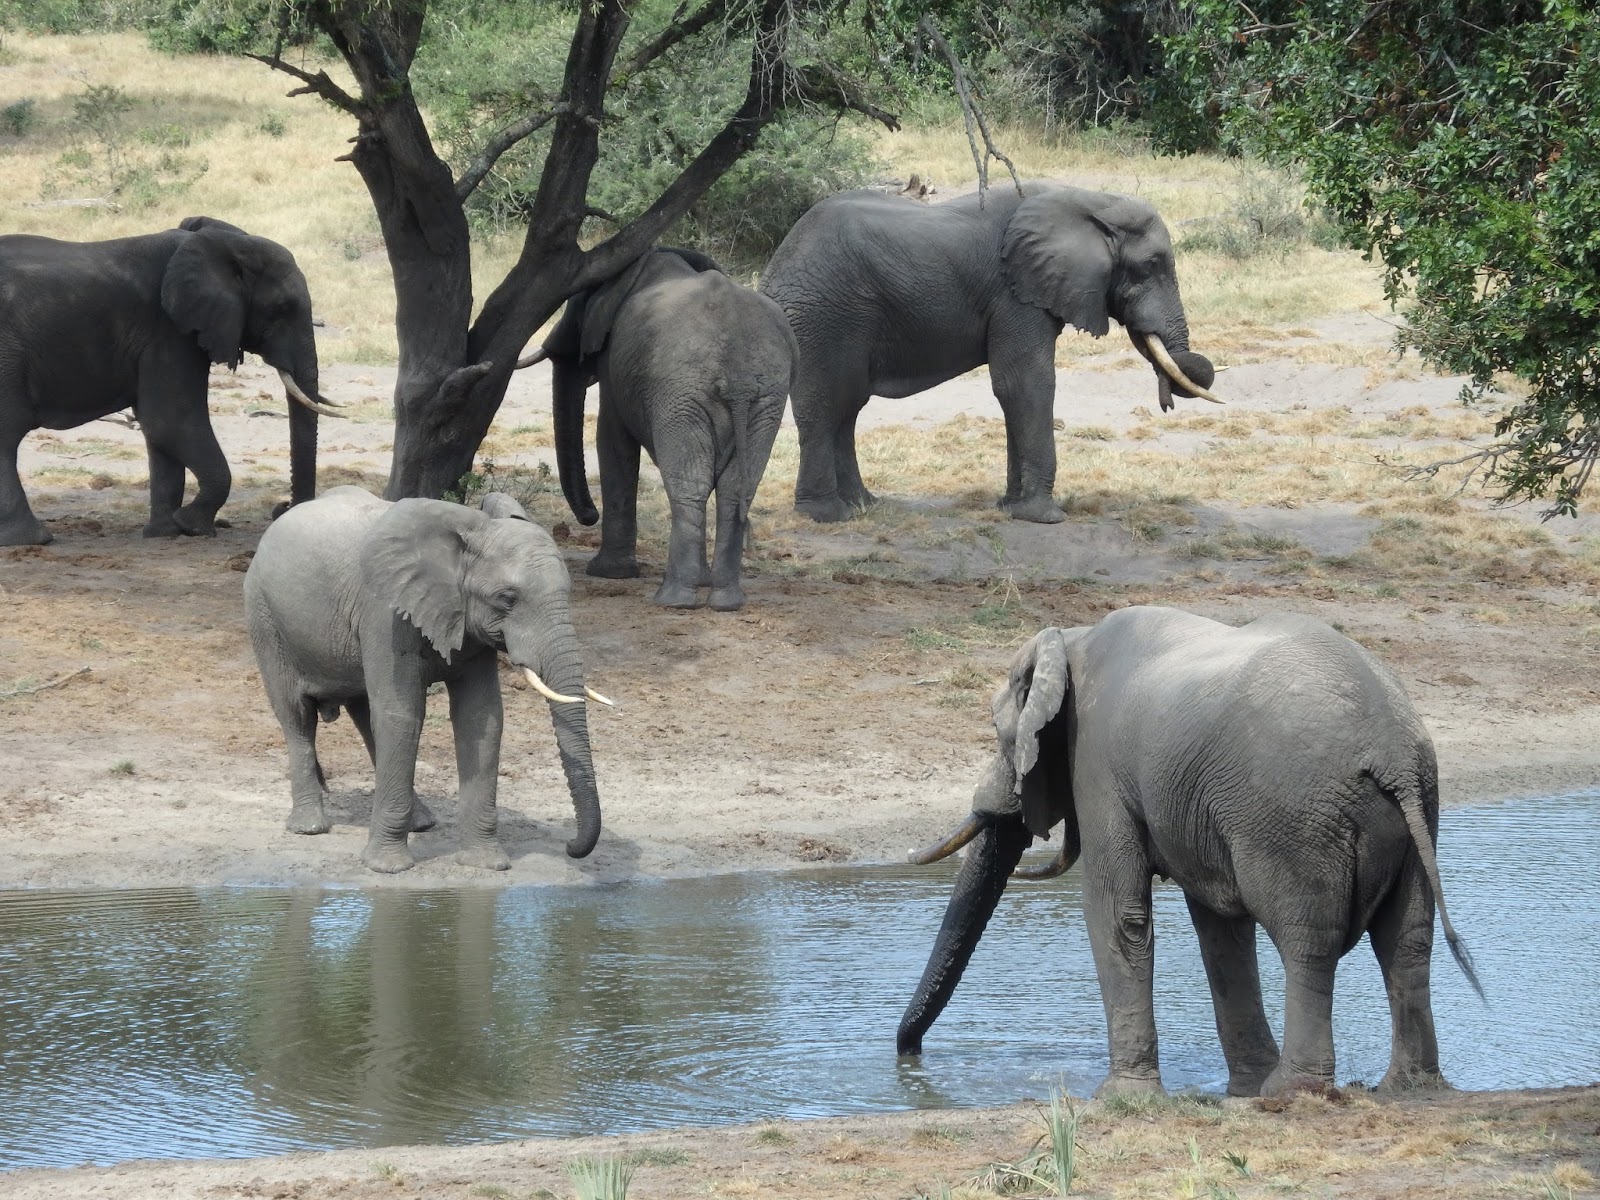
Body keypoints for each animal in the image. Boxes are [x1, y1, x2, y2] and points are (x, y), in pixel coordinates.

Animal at [0, 215, 340, 547]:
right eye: (282, 308)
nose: (282, 507)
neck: (224, 242)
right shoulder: (169, 331)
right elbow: (171, 421)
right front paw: (192, 525)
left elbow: (160, 431)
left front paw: (165, 532)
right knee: (8, 432)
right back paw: (31, 540)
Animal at [243, 486, 609, 873]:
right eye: (507, 599)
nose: (570, 846)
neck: (467, 536)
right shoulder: (385, 612)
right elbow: (402, 714)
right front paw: (388, 868)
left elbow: (481, 717)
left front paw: (484, 863)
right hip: (264, 618)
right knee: (297, 716)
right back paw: (310, 827)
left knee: (365, 715)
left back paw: (421, 822)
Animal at [524, 246, 796, 611]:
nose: (588, 516)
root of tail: (737, 375)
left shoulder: (614, 365)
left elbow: (612, 441)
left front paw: (609, 574)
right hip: (762, 399)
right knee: (734, 488)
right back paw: (725, 602)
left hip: (684, 391)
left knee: (690, 486)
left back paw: (673, 601)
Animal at [758, 183, 1219, 524]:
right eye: (1151, 265)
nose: (1165, 403)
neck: (1090, 200)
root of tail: (776, 264)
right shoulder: (1015, 294)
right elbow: (1025, 383)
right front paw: (1043, 517)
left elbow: (1014, 389)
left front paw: (1009, 509)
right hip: (822, 316)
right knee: (826, 407)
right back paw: (827, 516)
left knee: (847, 408)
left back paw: (863, 506)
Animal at [898, 606, 1482, 1098]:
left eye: (999, 735)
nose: (907, 1057)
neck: (1071, 640)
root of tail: (1393, 752)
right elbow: (1219, 930)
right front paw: (1240, 1090)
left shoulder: (1099, 765)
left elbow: (1116, 913)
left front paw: (1120, 1098)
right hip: (1418, 811)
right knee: (1406, 940)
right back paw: (1409, 1089)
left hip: (1296, 820)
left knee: (1308, 941)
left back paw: (1291, 1092)